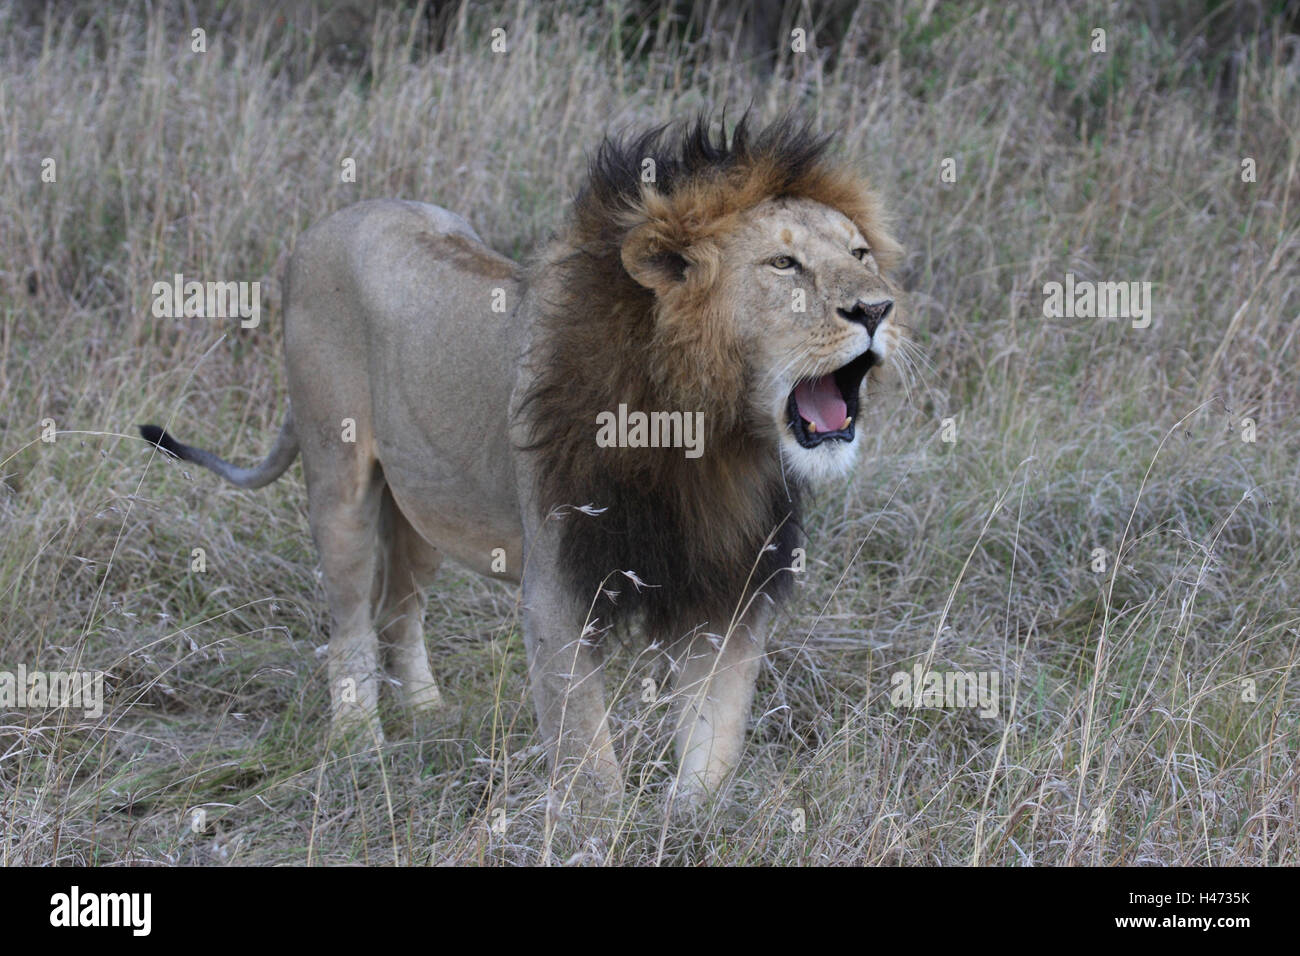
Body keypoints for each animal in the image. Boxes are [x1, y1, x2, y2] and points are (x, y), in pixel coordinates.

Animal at [140, 115, 903, 808]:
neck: (713, 438)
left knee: (399, 608)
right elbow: (587, 752)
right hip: (339, 482)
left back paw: (427, 715)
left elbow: (714, 735)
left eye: (861, 254)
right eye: (784, 264)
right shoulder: (558, 585)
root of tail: (330, 223)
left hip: (426, 506)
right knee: (350, 620)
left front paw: (692, 822)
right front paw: (601, 831)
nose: (877, 309)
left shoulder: (728, 584)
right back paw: (361, 744)